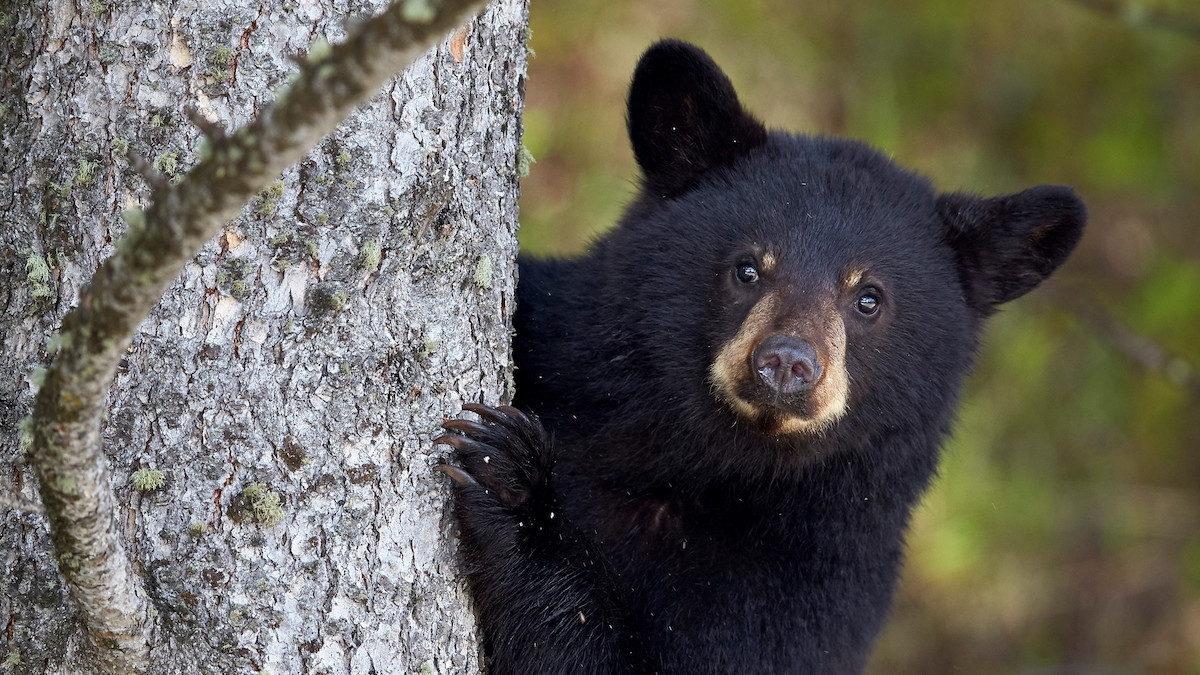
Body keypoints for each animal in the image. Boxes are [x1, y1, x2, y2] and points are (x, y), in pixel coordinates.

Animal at [436, 39, 1085, 675]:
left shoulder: (816, 585)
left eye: (869, 299)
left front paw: (512, 479)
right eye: (748, 268)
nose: (787, 363)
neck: (698, 463)